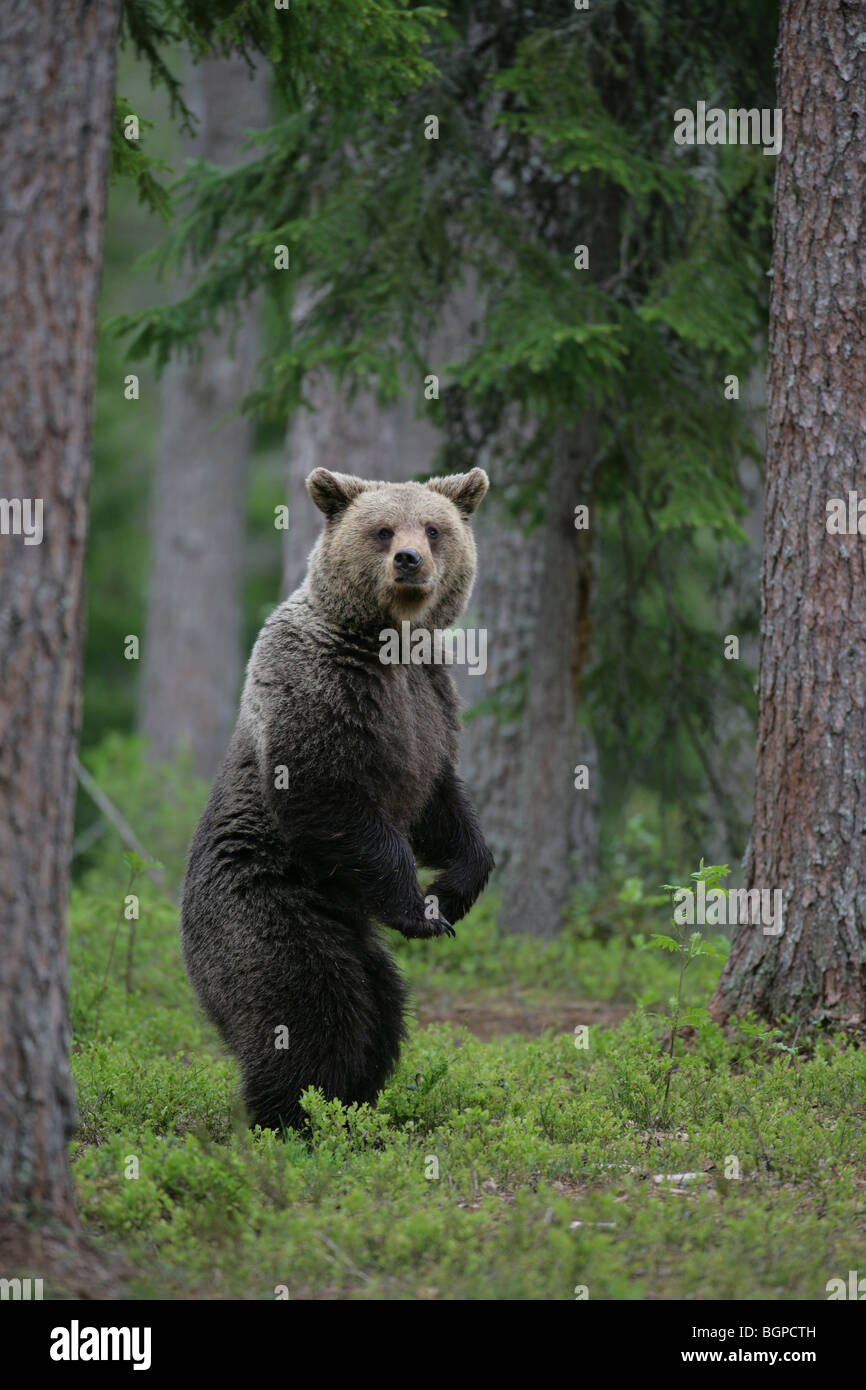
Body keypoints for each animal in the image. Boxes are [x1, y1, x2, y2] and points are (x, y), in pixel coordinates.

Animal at [180, 466, 494, 1132]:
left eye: (433, 528)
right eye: (383, 531)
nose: (409, 560)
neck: (388, 641)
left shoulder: (430, 701)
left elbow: (442, 805)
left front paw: (451, 893)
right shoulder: (320, 686)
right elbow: (325, 794)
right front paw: (417, 907)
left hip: (356, 939)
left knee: (382, 1010)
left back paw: (353, 1108)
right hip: (270, 908)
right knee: (310, 1011)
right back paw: (293, 1117)